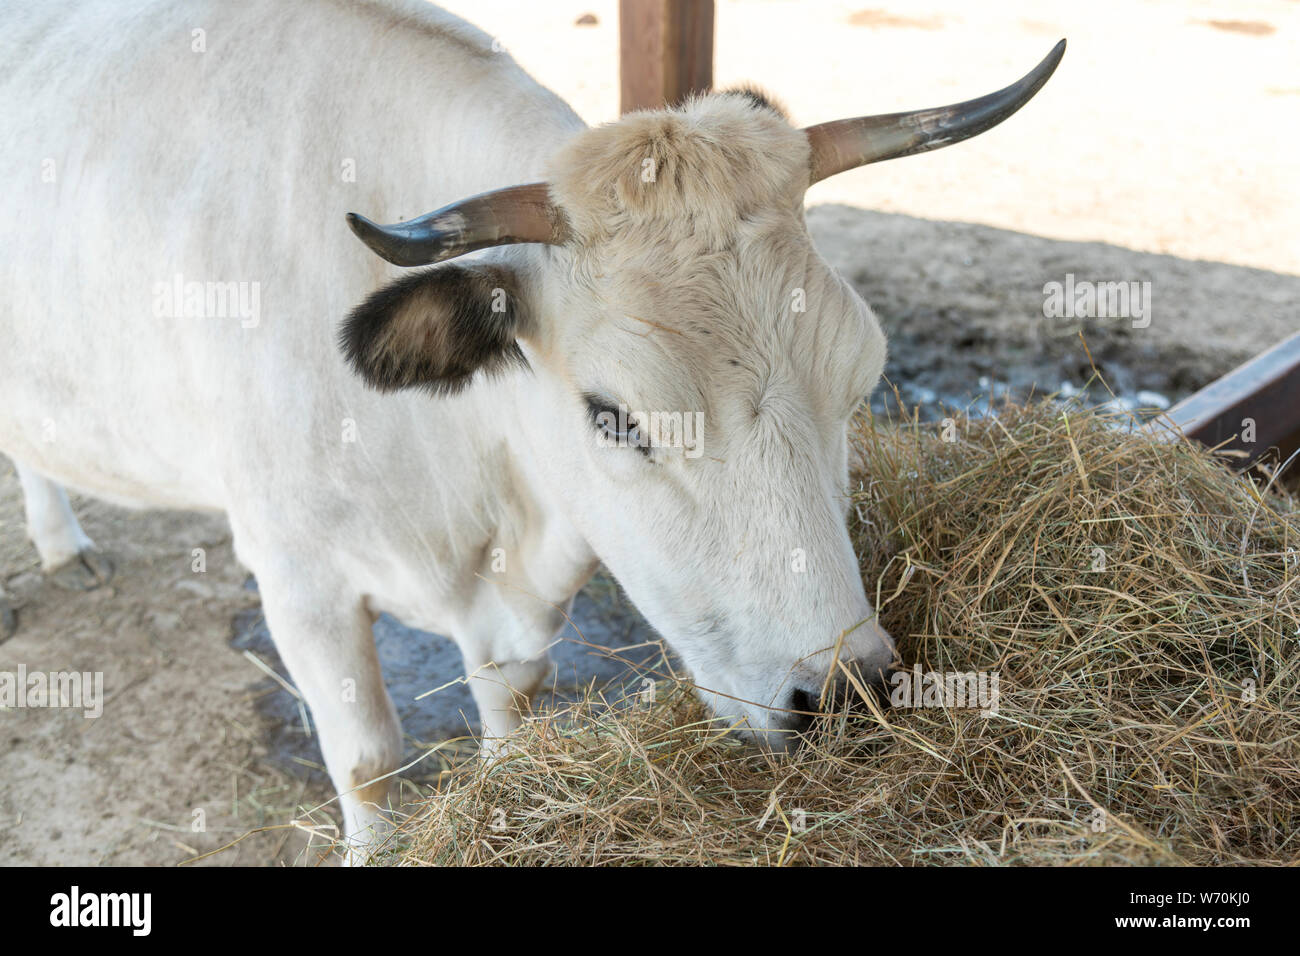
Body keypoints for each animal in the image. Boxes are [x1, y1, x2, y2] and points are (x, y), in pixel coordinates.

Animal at [0, 0, 1062, 861]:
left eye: (860, 379)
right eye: (612, 415)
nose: (841, 693)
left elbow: (510, 708)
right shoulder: (299, 579)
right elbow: (369, 764)